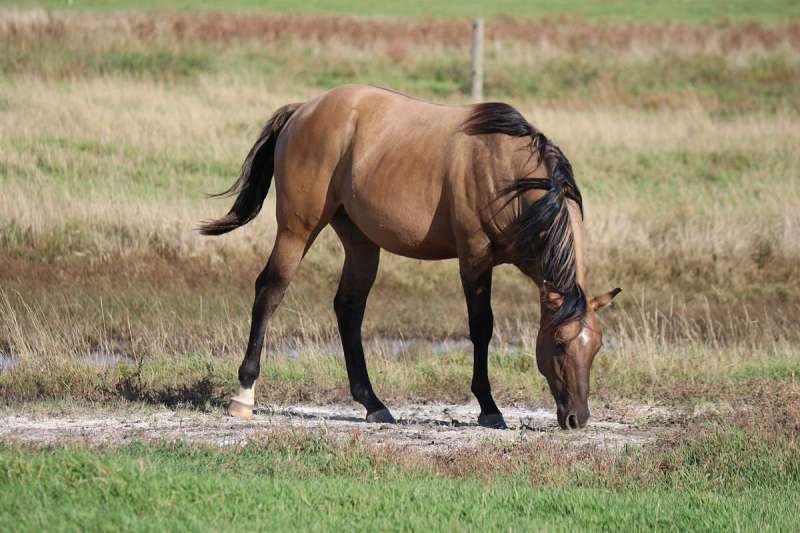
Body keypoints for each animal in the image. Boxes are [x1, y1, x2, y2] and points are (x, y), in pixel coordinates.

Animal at [201, 84, 620, 430]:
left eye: (597, 346)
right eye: (560, 344)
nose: (577, 418)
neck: (510, 178)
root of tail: (303, 109)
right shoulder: (474, 259)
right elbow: (481, 327)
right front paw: (489, 408)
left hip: (360, 242)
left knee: (348, 307)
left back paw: (373, 403)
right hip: (296, 230)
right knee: (270, 292)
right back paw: (244, 395)